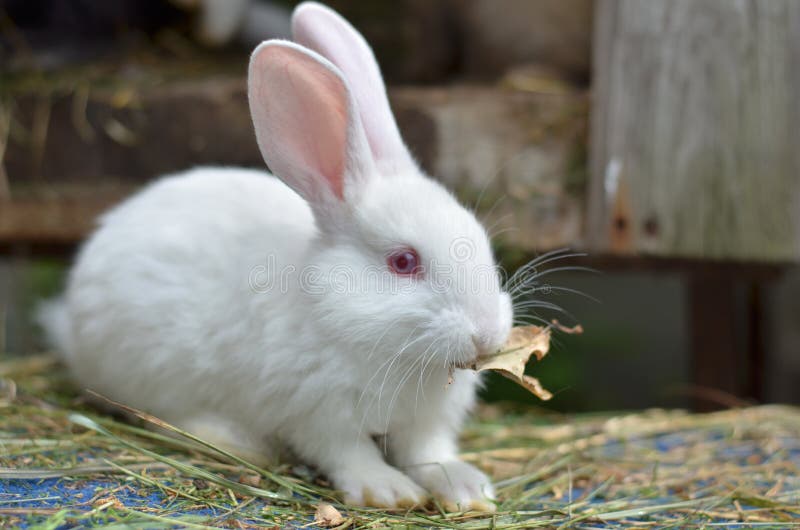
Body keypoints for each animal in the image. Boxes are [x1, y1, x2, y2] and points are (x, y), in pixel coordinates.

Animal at [39, 1, 513, 511]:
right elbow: (349, 454)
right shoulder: (317, 413)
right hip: (145, 370)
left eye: (479, 239)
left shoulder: (426, 423)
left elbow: (430, 453)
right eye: (403, 262)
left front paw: (469, 490)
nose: (487, 335)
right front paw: (389, 491)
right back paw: (232, 439)